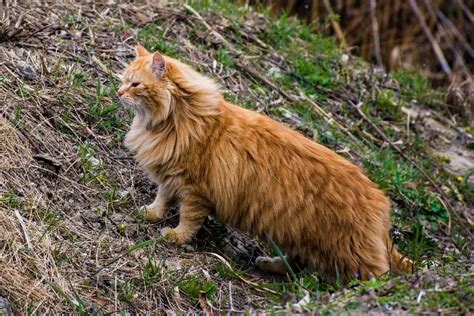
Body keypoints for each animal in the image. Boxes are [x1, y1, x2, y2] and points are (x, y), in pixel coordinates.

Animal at [118, 44, 412, 282]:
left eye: (135, 84)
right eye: (124, 81)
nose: (119, 92)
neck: (181, 118)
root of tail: (380, 199)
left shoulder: (194, 189)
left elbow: (188, 220)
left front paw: (175, 236)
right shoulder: (171, 176)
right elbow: (162, 199)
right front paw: (151, 214)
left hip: (348, 252)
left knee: (373, 276)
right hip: (300, 236)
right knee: (297, 264)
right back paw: (268, 264)